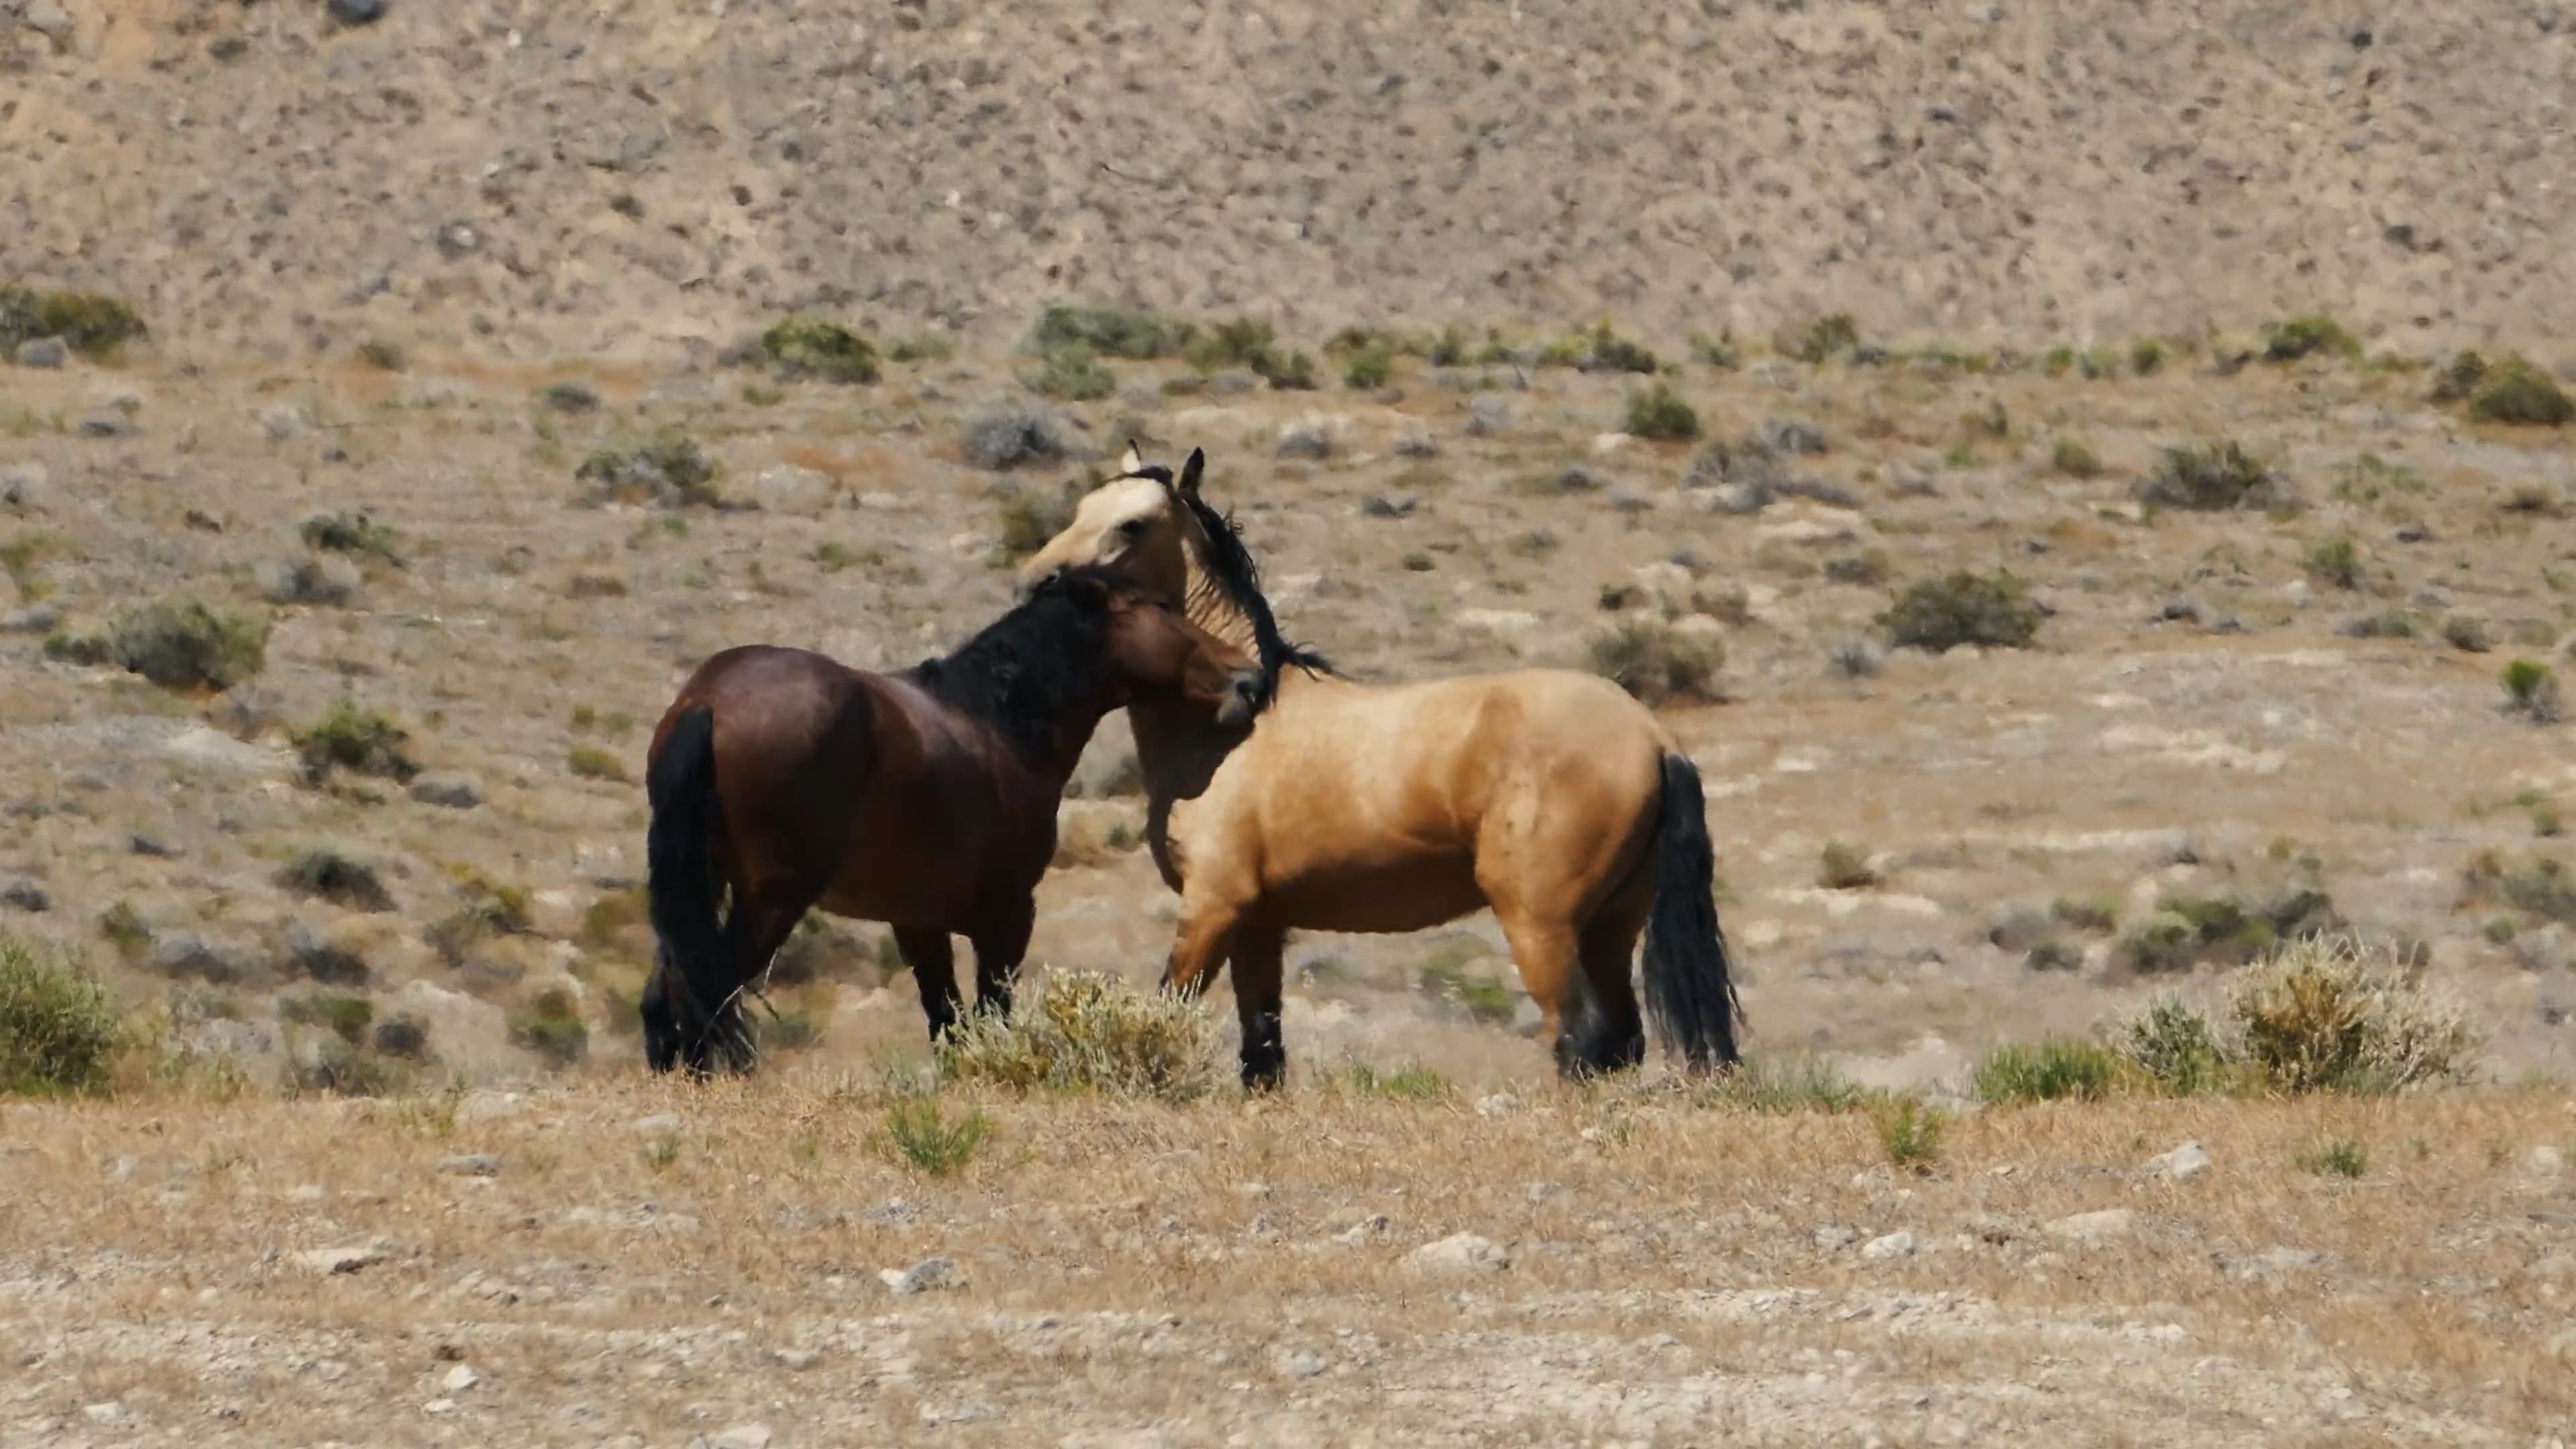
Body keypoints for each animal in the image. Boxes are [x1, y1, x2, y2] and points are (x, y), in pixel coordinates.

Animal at [638, 565, 1262, 1076]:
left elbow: (948, 1022)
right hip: (772, 898)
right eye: (1162, 608)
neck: (997, 721)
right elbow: (988, 1014)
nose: (1249, 678)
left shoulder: (918, 923)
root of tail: (709, 701)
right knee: (710, 990)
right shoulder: (1007, 916)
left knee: (668, 995)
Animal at [1017, 446, 1745, 1088]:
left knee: (1580, 1038)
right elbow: (1262, 1056)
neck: (1234, 721)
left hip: (1541, 925)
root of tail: (1653, 735)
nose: (1034, 582)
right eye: (1081, 507)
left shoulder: (1212, 908)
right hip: (1611, 925)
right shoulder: (1258, 926)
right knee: (1620, 1041)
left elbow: (1166, 1012)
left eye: (1131, 525)